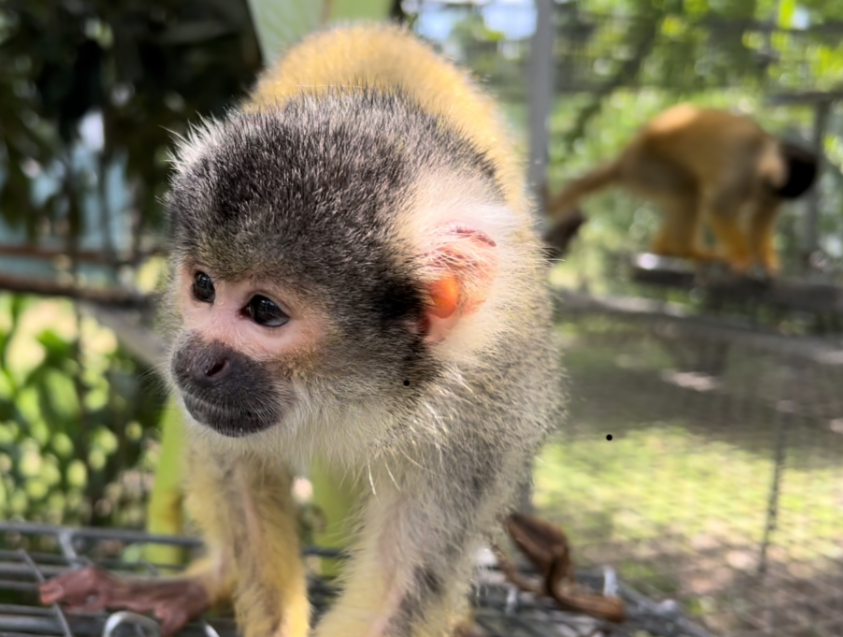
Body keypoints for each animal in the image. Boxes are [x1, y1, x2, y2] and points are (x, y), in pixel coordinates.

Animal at [39, 23, 564, 637]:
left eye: (264, 311)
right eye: (204, 287)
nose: (195, 362)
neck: (362, 396)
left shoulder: (485, 410)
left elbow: (402, 582)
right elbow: (238, 468)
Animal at [543, 103, 819, 274]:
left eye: (772, 191)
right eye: (769, 183)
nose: (764, 190)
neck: (762, 157)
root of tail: (626, 159)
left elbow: (761, 220)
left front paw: (767, 262)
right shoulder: (744, 170)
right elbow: (719, 208)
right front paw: (742, 258)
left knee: (686, 195)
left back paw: (665, 249)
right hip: (649, 169)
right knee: (688, 192)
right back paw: (685, 250)